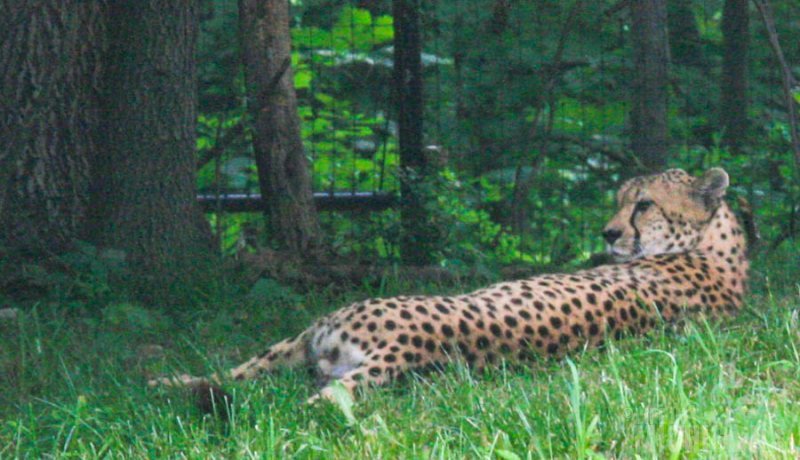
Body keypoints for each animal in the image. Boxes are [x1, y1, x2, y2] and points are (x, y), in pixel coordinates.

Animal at [150, 168, 749, 404]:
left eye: (643, 204)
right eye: (620, 199)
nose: (608, 232)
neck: (716, 254)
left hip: (322, 338)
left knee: (271, 391)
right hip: (306, 341)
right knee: (231, 376)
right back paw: (163, 382)